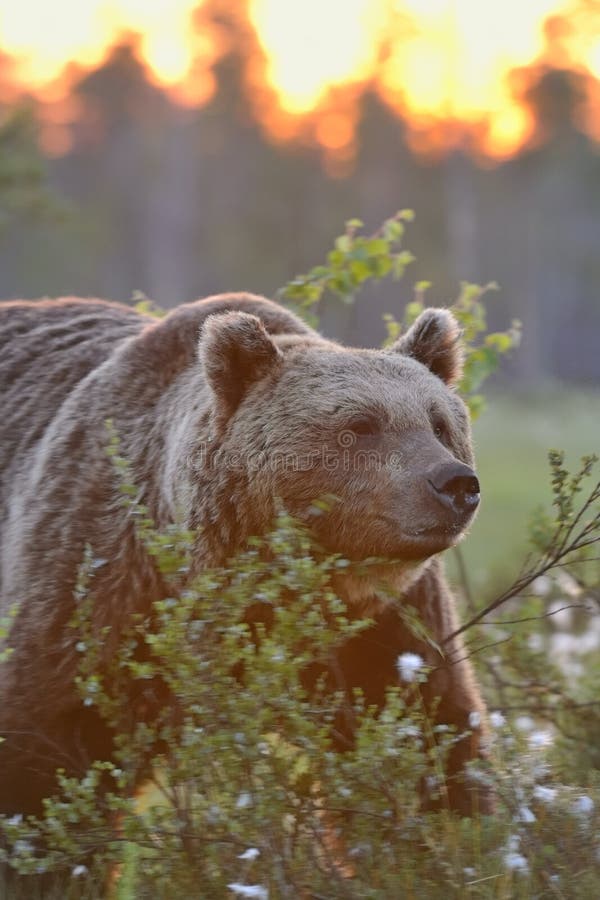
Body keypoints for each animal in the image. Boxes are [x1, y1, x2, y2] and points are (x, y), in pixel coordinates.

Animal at [0, 292, 492, 819]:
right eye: (362, 424)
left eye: (439, 422)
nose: (455, 483)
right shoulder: (101, 589)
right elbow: (44, 757)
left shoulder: (385, 622)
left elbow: (431, 731)